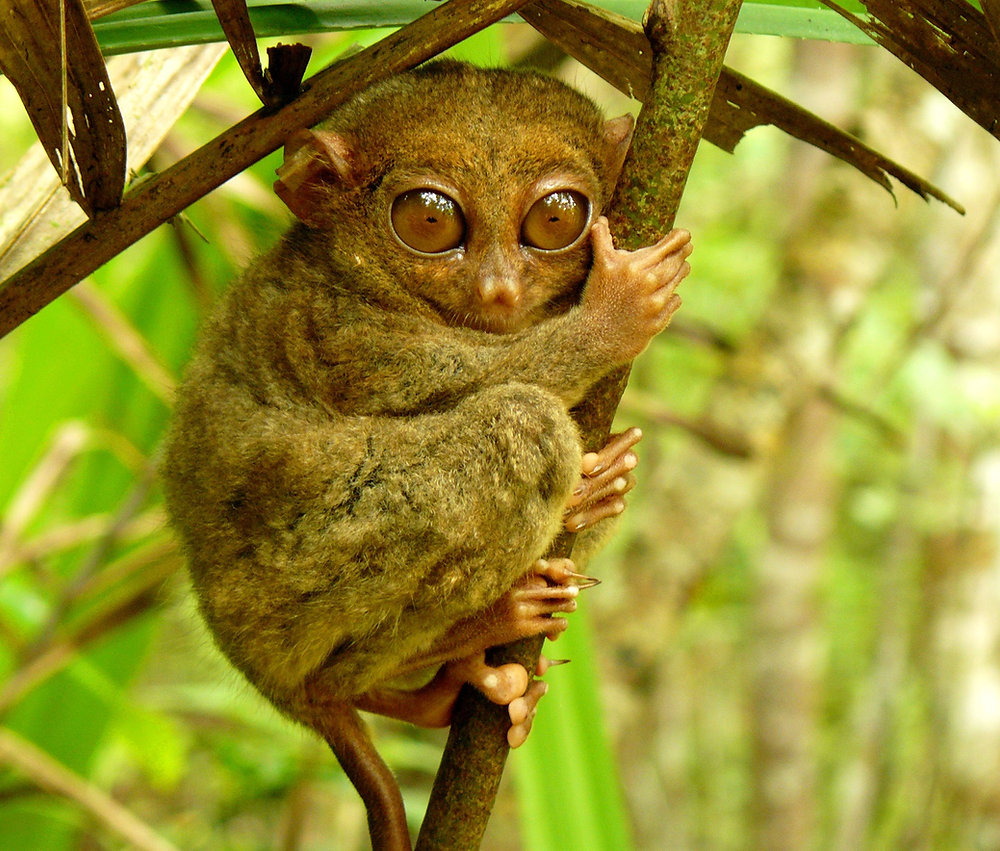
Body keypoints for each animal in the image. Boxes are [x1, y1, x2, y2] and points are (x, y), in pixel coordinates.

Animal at [161, 60, 692, 851]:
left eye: (555, 219)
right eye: (431, 222)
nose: (499, 288)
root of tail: (268, 684)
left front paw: (607, 480)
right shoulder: (341, 334)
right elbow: (483, 375)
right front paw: (615, 315)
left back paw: (442, 692)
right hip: (292, 586)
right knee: (524, 425)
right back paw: (474, 632)